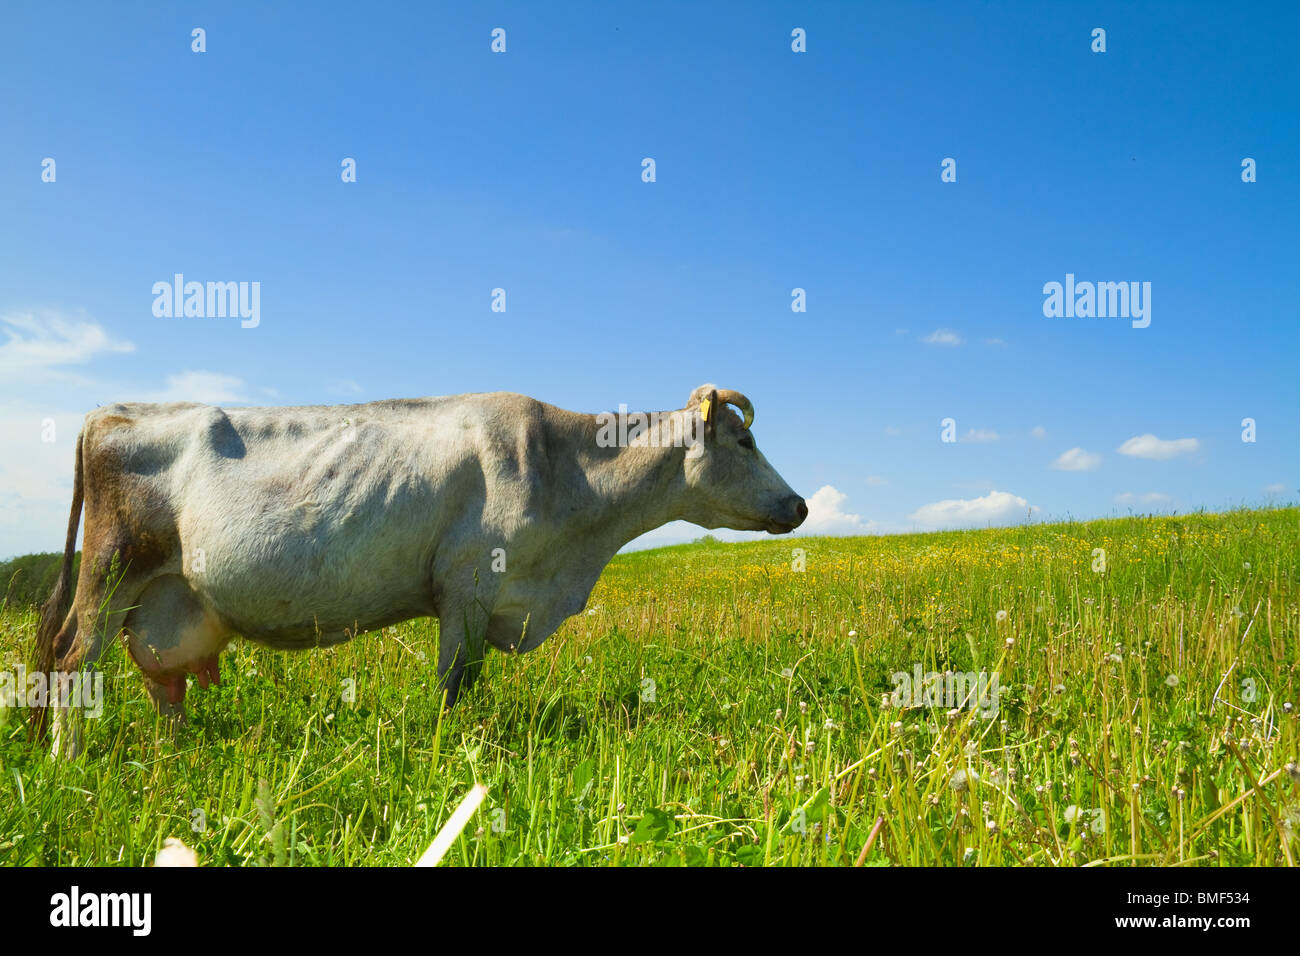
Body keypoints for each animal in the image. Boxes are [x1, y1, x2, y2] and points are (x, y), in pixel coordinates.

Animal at [30, 384, 806, 756]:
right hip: (110, 571)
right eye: (744, 440)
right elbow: (453, 685)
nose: (799, 504)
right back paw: (69, 759)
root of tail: (110, 412)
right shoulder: (468, 586)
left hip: (164, 596)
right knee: (70, 662)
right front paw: (446, 749)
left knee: (163, 682)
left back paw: (179, 757)